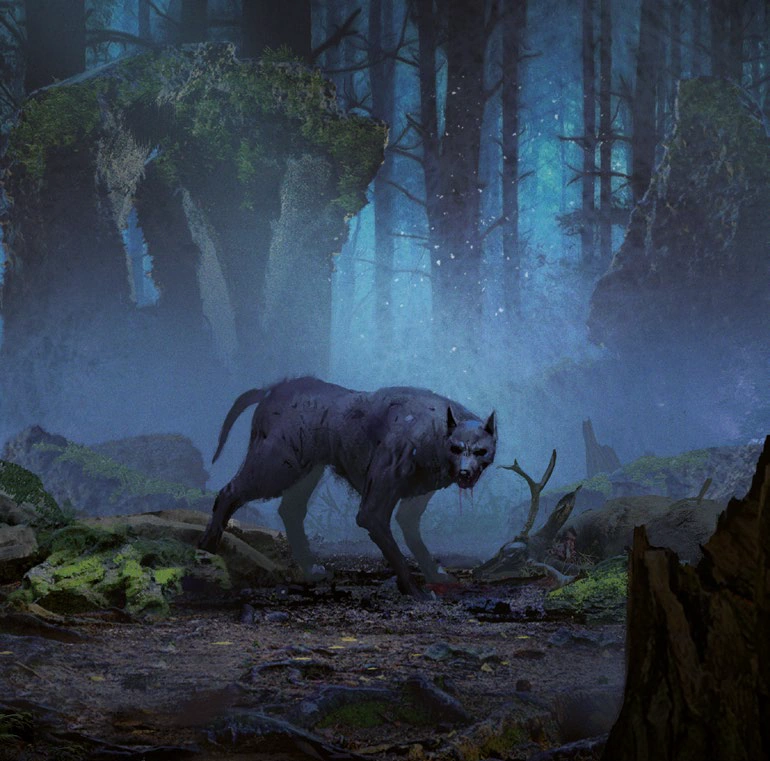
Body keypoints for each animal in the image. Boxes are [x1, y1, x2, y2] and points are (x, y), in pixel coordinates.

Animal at [198, 377, 496, 597]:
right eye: (456, 448)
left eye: (481, 451)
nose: (466, 473)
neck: (436, 433)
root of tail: (270, 389)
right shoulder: (374, 509)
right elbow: (392, 543)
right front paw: (413, 589)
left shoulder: (415, 499)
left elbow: (413, 536)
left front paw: (435, 574)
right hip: (277, 467)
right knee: (229, 492)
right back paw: (207, 547)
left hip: (308, 472)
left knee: (290, 511)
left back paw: (310, 568)